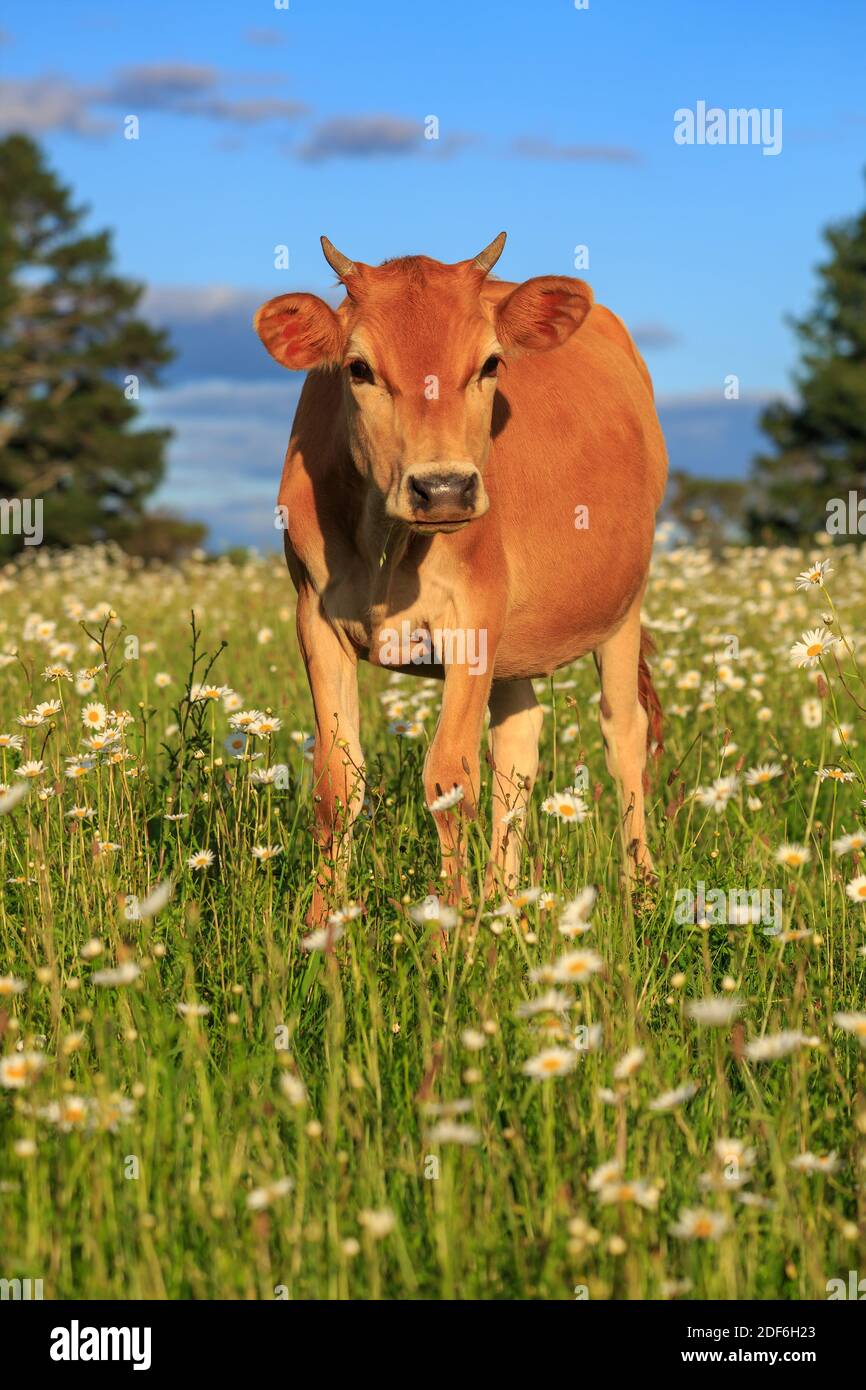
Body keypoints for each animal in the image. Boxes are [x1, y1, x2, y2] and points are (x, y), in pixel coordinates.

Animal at [254, 234, 667, 925]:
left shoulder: (474, 618)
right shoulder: (315, 616)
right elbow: (337, 784)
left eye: (491, 364)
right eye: (358, 368)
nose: (443, 488)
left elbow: (449, 778)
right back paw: (505, 901)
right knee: (519, 745)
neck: (386, 544)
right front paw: (320, 926)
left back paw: (641, 893)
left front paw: (452, 928)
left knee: (623, 734)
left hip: (623, 605)